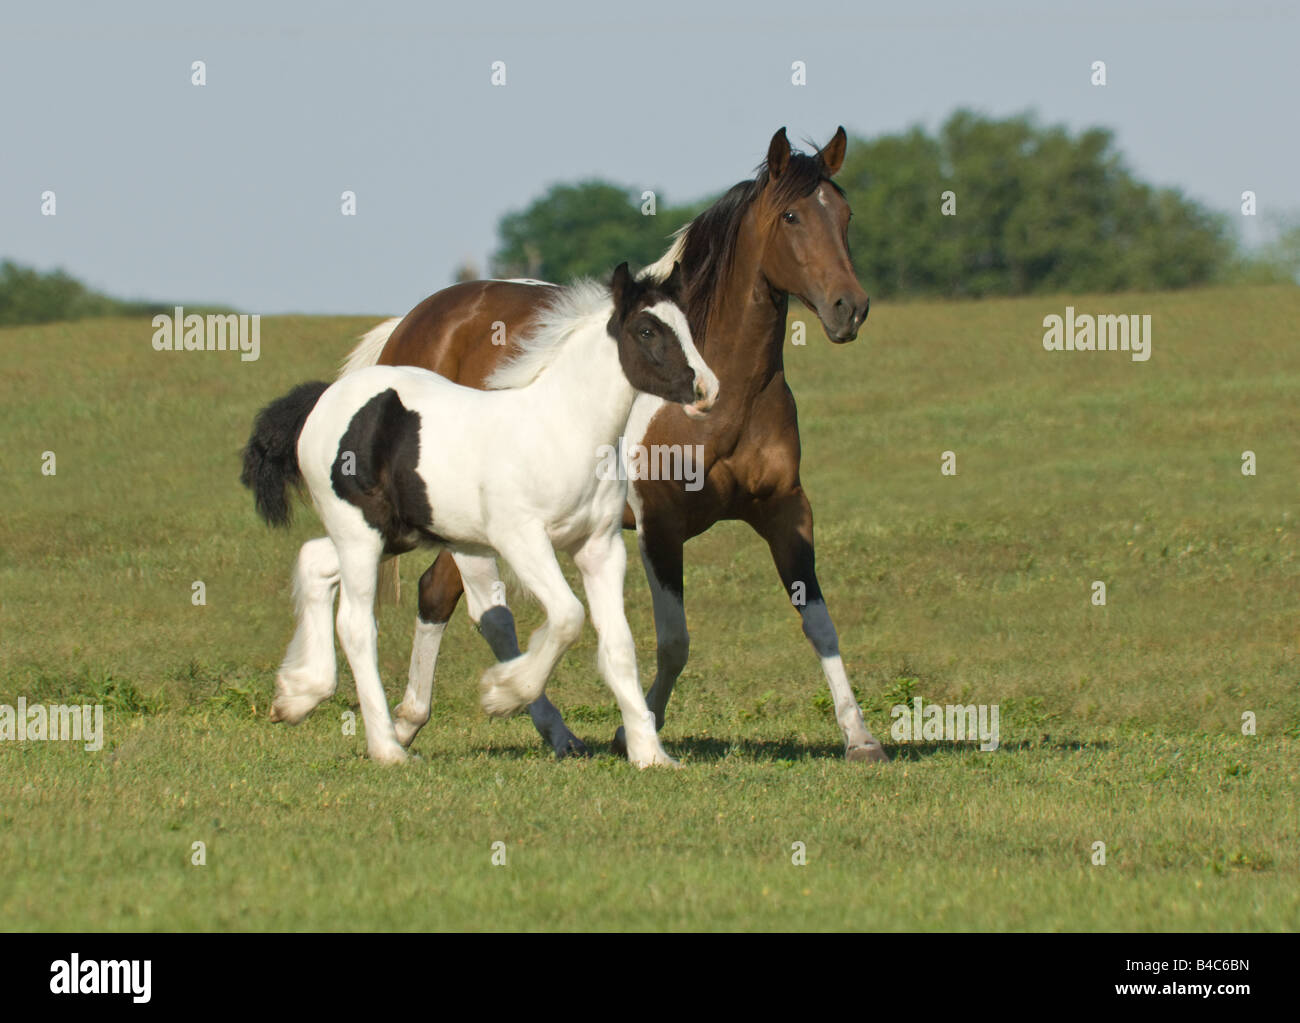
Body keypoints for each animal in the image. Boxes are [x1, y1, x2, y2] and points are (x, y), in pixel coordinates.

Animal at [240, 263, 717, 766]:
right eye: (646, 330)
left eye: (686, 326)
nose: (706, 390)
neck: (561, 428)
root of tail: (326, 400)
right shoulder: (520, 537)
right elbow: (568, 616)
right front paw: (502, 692)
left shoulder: (599, 547)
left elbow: (619, 645)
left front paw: (649, 753)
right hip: (360, 534)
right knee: (355, 624)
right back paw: (387, 747)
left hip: (395, 533)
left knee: (313, 561)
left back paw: (296, 695)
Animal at [343, 126, 889, 764]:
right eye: (793, 216)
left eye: (845, 214)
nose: (849, 308)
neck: (723, 394)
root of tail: (410, 322)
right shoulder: (660, 526)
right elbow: (674, 641)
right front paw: (637, 730)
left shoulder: (786, 511)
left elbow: (819, 623)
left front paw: (860, 737)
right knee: (467, 604)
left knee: (450, 599)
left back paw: (459, 723)